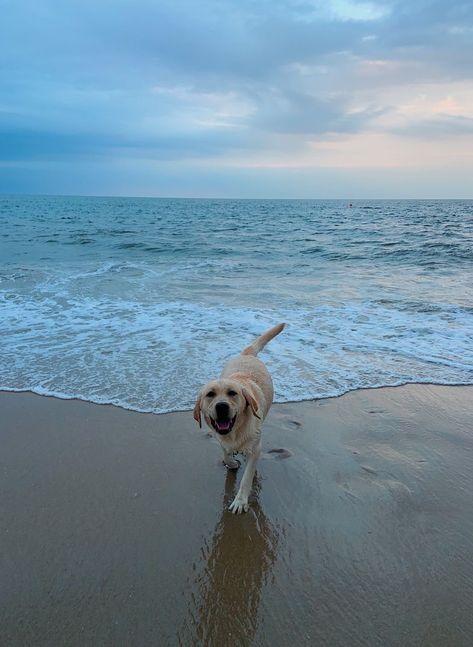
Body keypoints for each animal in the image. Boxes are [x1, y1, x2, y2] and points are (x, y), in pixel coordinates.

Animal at [193, 324, 284, 516]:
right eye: (210, 394)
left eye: (232, 393)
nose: (221, 406)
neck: (235, 431)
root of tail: (247, 354)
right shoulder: (221, 438)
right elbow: (226, 453)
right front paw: (232, 462)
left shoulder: (256, 448)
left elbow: (247, 477)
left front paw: (240, 501)